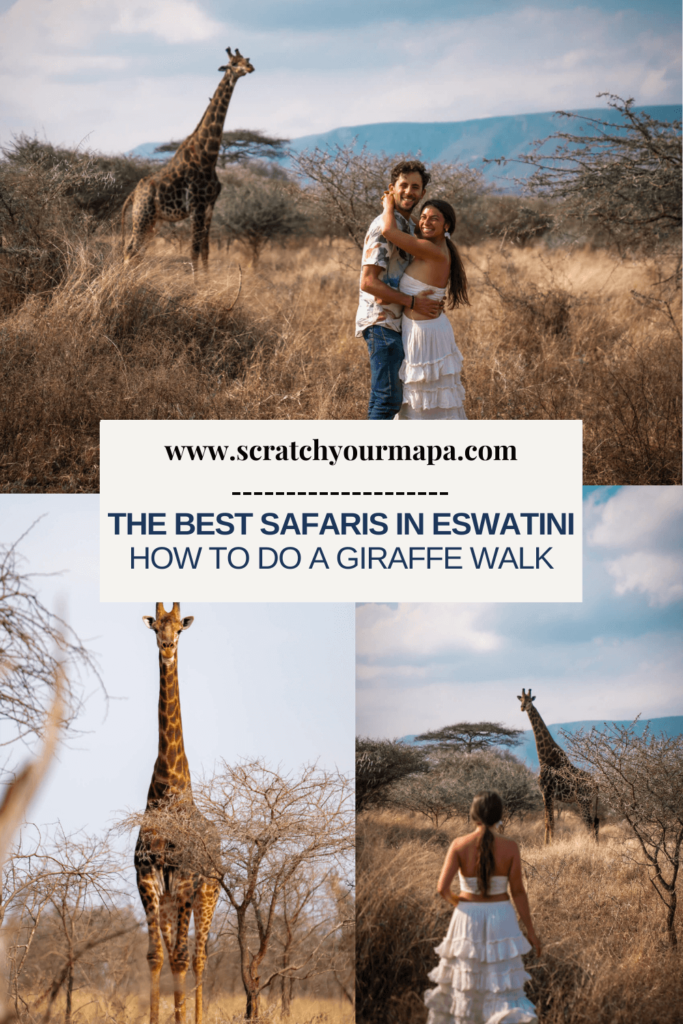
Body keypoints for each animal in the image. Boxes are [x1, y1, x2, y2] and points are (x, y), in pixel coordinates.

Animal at [121, 47, 254, 269]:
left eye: (246, 59)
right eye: (233, 64)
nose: (250, 68)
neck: (208, 156)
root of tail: (133, 195)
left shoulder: (209, 207)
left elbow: (205, 251)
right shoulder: (196, 207)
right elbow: (193, 251)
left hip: (153, 220)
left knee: (137, 251)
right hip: (143, 215)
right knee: (131, 249)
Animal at [518, 688, 599, 845]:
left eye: (530, 700)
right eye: (521, 700)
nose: (522, 707)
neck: (544, 759)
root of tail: (596, 784)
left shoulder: (548, 793)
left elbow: (551, 822)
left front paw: (550, 844)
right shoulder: (545, 795)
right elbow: (546, 822)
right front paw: (545, 844)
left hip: (583, 801)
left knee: (588, 822)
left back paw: (590, 845)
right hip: (591, 802)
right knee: (595, 823)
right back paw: (596, 845)